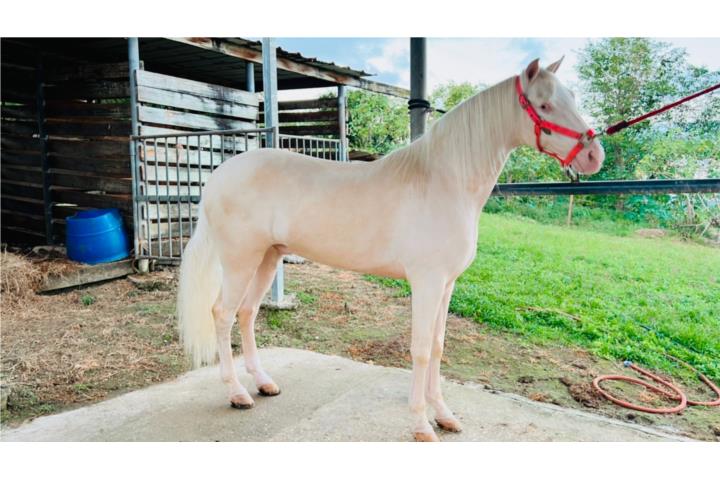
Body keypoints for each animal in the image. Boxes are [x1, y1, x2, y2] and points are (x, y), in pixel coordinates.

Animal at [176, 57, 605, 441]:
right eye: (544, 105)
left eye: (571, 97)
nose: (594, 156)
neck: (443, 182)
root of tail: (219, 176)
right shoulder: (427, 282)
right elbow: (420, 349)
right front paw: (421, 424)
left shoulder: (447, 285)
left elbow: (438, 346)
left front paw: (444, 416)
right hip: (239, 260)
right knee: (222, 314)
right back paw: (237, 393)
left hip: (267, 258)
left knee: (247, 313)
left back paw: (264, 382)